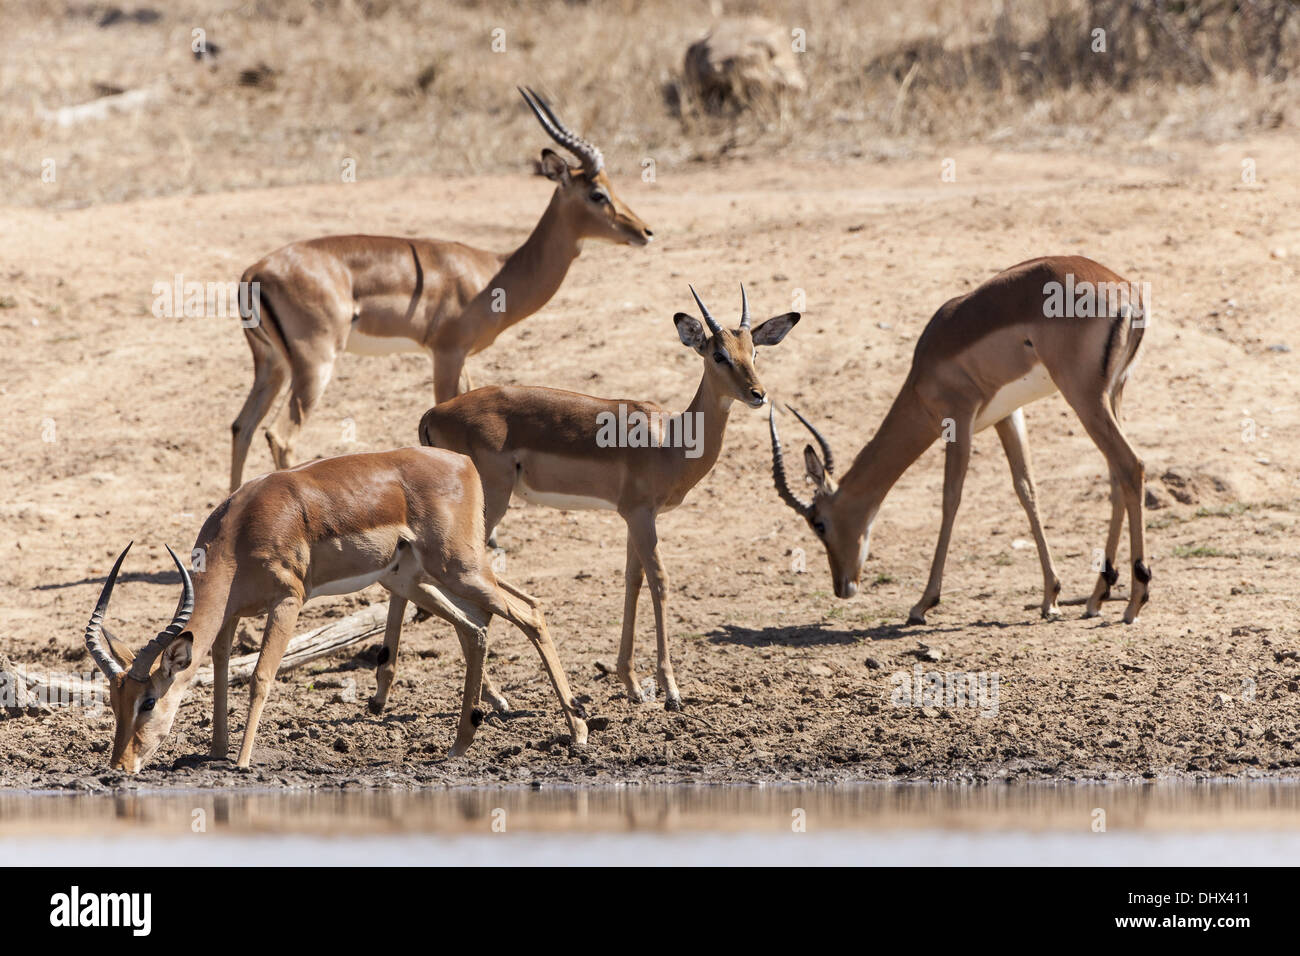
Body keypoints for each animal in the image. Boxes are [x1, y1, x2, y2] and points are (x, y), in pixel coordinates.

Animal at [82, 447, 587, 773]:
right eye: (114, 702)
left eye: (148, 701)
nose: (120, 766)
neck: (242, 531)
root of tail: (461, 462)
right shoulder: (230, 617)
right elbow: (221, 671)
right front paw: (217, 752)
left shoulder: (288, 600)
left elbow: (261, 676)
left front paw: (241, 762)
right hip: (411, 578)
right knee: (474, 629)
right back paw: (459, 746)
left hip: (459, 569)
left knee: (531, 612)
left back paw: (578, 732)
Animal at [229, 87, 654, 492]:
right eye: (597, 194)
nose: (645, 231)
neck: (493, 273)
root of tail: (254, 271)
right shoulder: (446, 353)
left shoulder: (462, 357)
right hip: (315, 364)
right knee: (280, 434)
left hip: (272, 365)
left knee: (241, 426)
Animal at [417, 286, 800, 711]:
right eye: (719, 354)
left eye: (754, 351)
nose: (758, 394)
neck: (671, 439)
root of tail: (433, 413)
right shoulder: (641, 515)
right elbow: (660, 581)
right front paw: (671, 691)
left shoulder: (634, 517)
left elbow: (633, 579)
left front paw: (632, 684)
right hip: (489, 505)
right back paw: (496, 699)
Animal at [769, 255, 1151, 625]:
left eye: (819, 523)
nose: (843, 587)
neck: (924, 373)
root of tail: (1125, 291)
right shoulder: (1008, 416)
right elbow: (1026, 489)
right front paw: (1050, 597)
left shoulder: (959, 420)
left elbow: (950, 498)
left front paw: (922, 604)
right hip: (1112, 394)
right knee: (1116, 476)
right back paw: (1097, 597)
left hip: (1084, 397)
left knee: (1131, 465)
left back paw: (1134, 601)